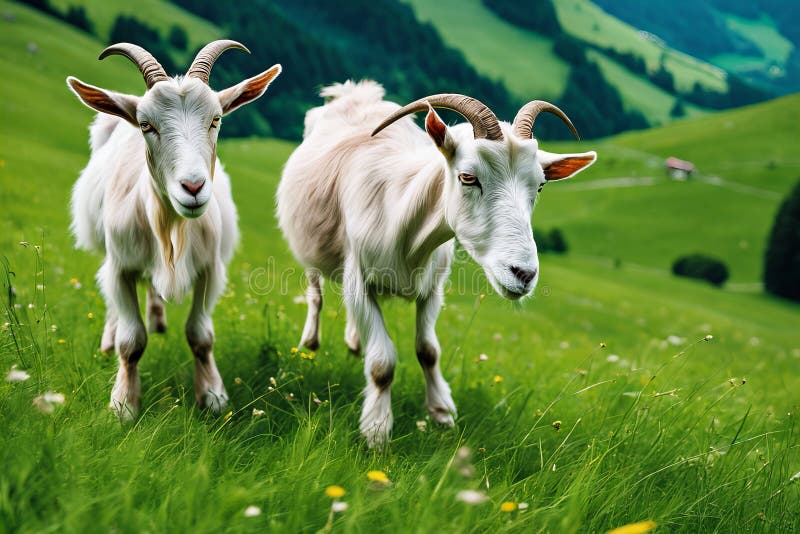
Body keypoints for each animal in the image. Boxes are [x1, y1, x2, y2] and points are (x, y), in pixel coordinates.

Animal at [67, 41, 281, 417]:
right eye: (145, 125)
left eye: (216, 119)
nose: (193, 187)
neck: (171, 227)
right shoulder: (120, 267)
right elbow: (131, 340)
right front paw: (124, 403)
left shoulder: (210, 269)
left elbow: (200, 335)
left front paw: (212, 395)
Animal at [277, 81, 596, 446]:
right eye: (468, 177)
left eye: (540, 185)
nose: (524, 274)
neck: (398, 211)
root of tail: (353, 93)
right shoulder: (359, 279)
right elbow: (382, 363)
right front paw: (376, 431)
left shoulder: (432, 288)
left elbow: (429, 350)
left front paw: (442, 414)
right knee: (315, 290)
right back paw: (310, 342)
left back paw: (355, 341)